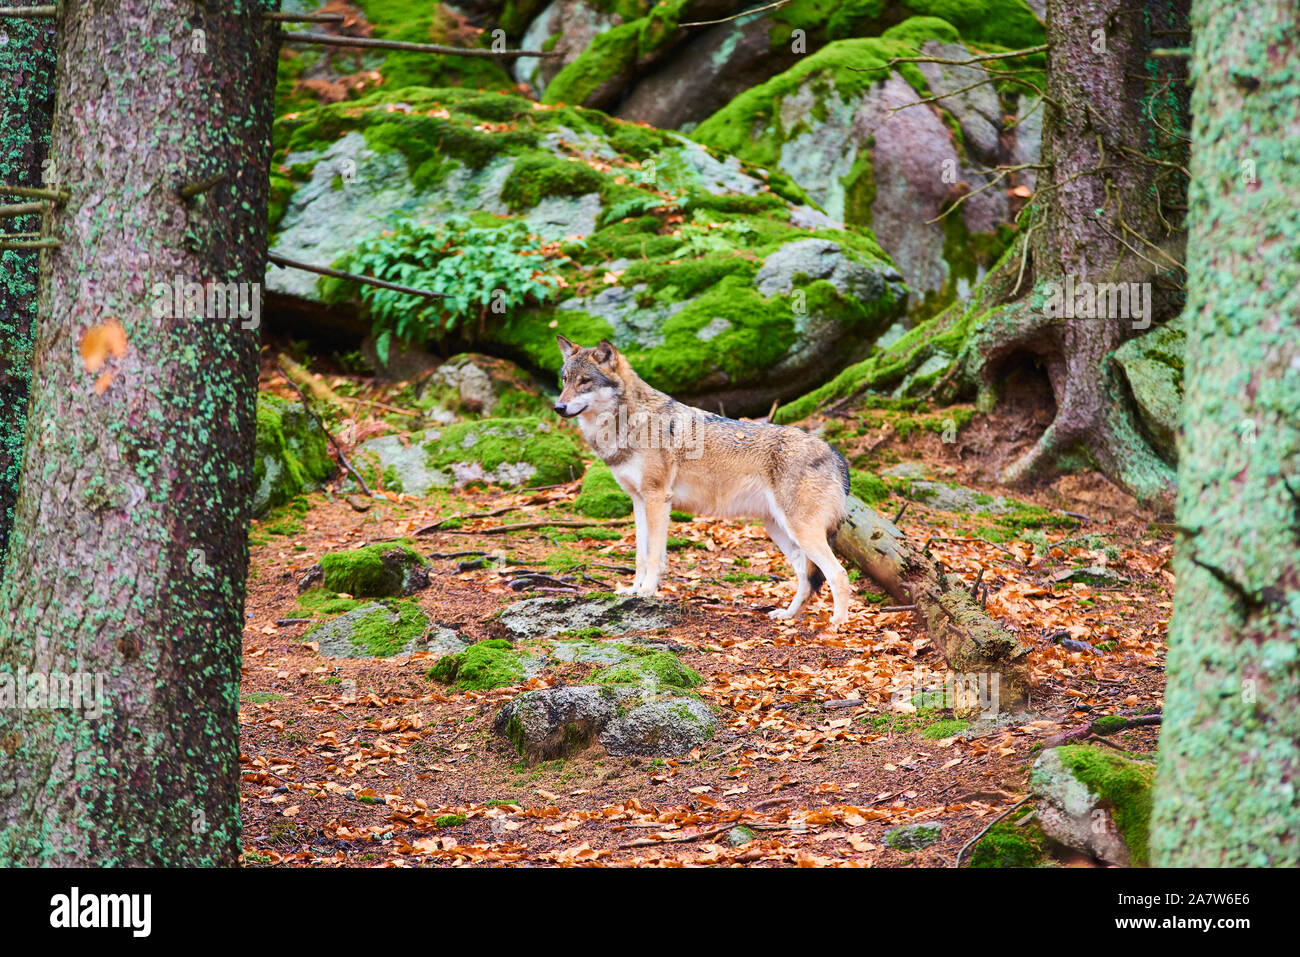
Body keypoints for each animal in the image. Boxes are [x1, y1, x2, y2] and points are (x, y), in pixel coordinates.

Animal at [554, 336, 852, 626]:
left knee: (838, 574)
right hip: (780, 530)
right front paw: (633, 590)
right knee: (806, 576)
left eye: (585, 381)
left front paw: (647, 591)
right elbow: (640, 554)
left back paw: (836, 626)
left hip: (801, 531)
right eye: (565, 380)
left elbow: (654, 556)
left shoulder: (657, 499)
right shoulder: (638, 501)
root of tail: (837, 455)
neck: (630, 423)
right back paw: (788, 615)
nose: (558, 407)